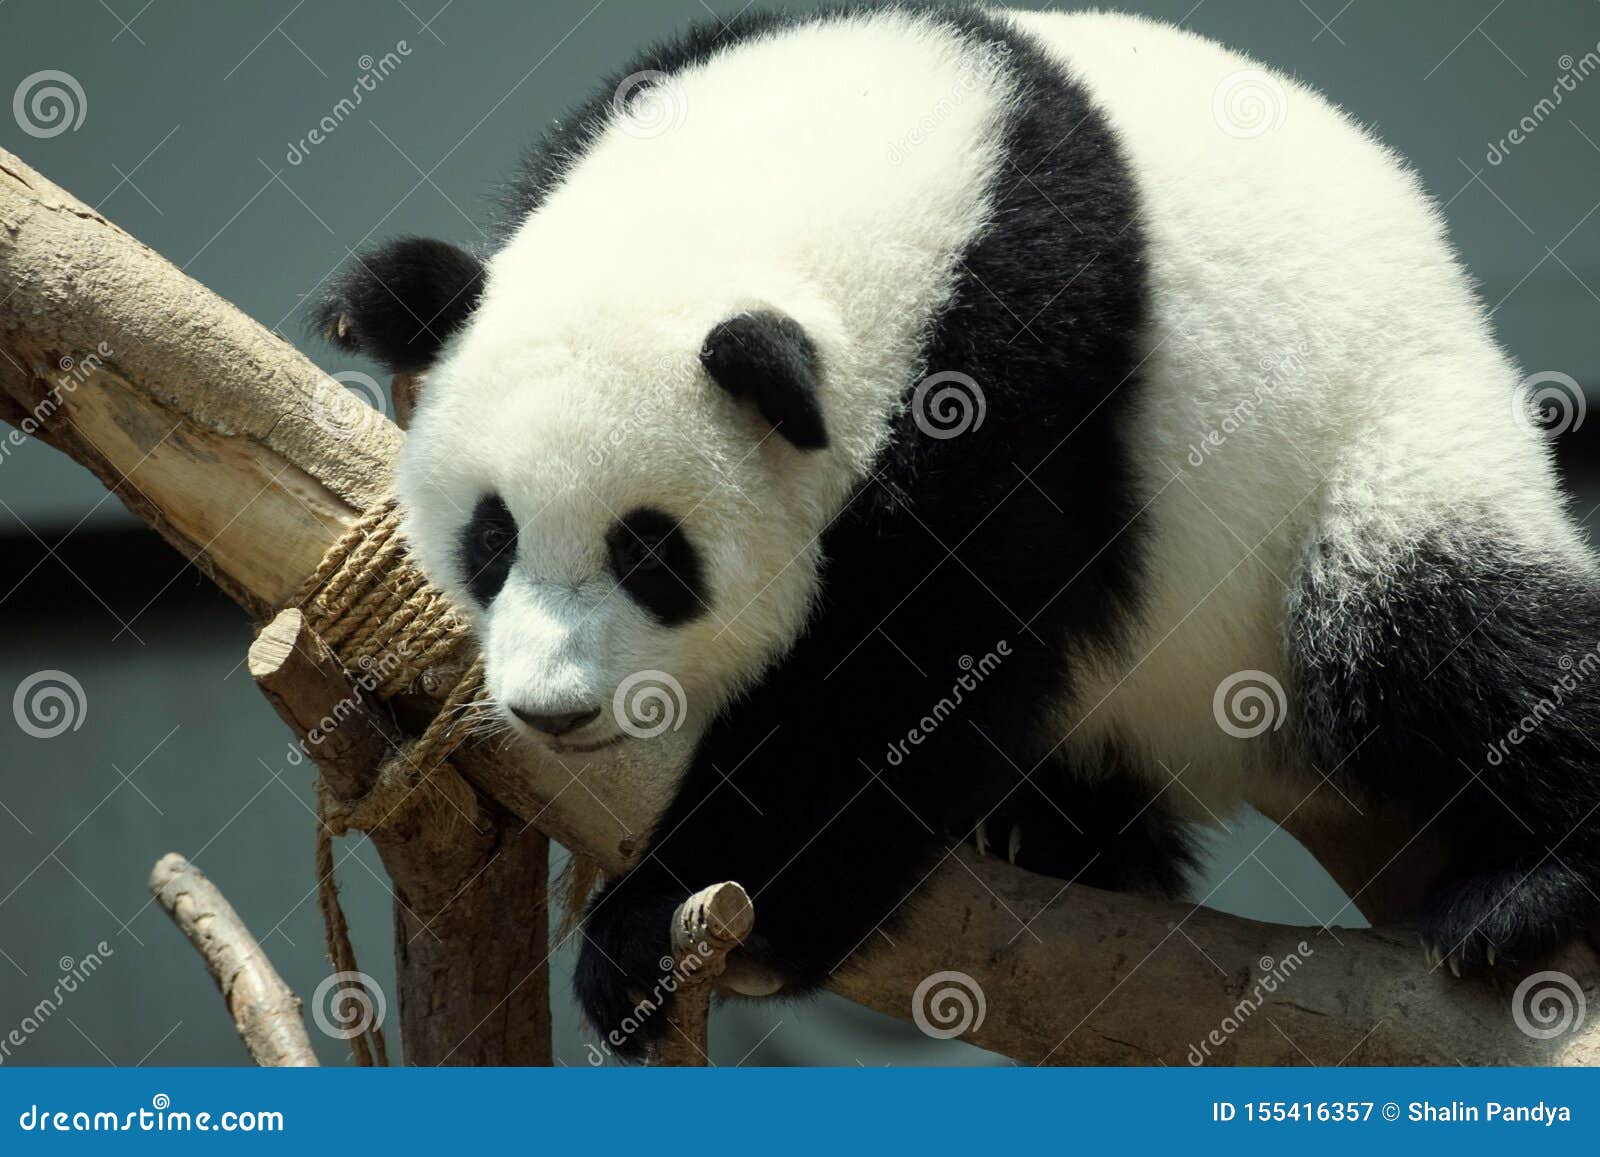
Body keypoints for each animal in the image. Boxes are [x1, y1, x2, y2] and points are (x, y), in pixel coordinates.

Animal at [316, 3, 1600, 1057]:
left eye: (651, 553)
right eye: (491, 540)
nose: (554, 709)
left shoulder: (1017, 372)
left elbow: (907, 669)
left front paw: (663, 933)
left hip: (1378, 450)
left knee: (1442, 629)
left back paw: (1522, 886)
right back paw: (1064, 836)